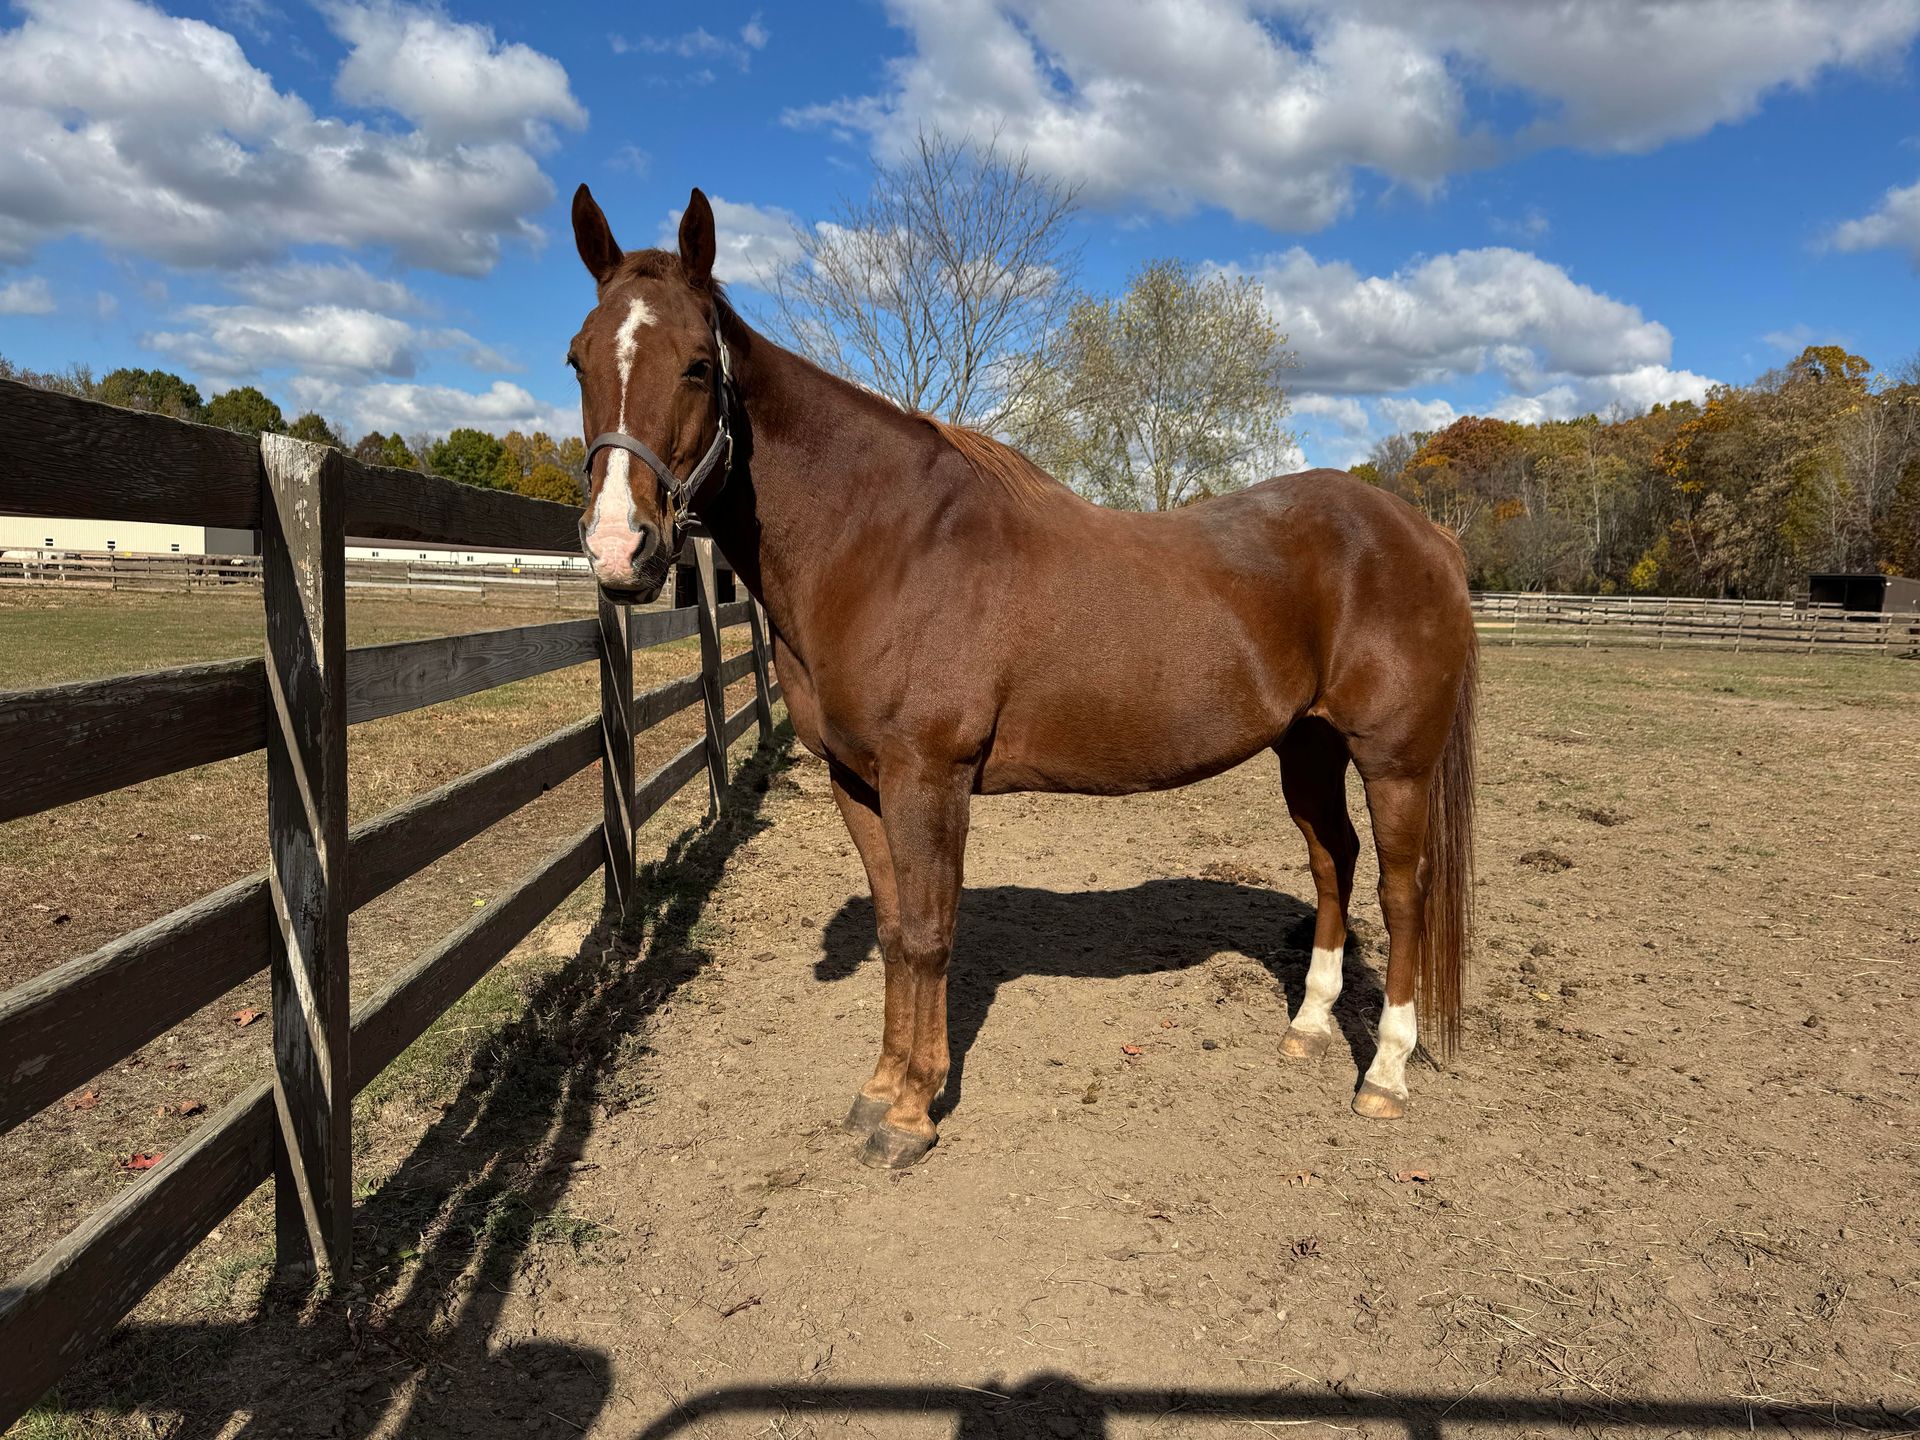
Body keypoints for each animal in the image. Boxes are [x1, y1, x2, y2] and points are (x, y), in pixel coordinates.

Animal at [565, 184, 1477, 1169]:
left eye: (699, 366)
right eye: (578, 360)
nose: (619, 549)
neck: (882, 543)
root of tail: (1425, 535)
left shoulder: (930, 777)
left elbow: (931, 935)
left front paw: (912, 1114)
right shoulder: (859, 779)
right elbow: (894, 930)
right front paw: (878, 1089)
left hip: (1393, 763)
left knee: (1400, 889)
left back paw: (1383, 1075)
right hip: (1307, 748)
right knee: (1330, 862)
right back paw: (1307, 1028)